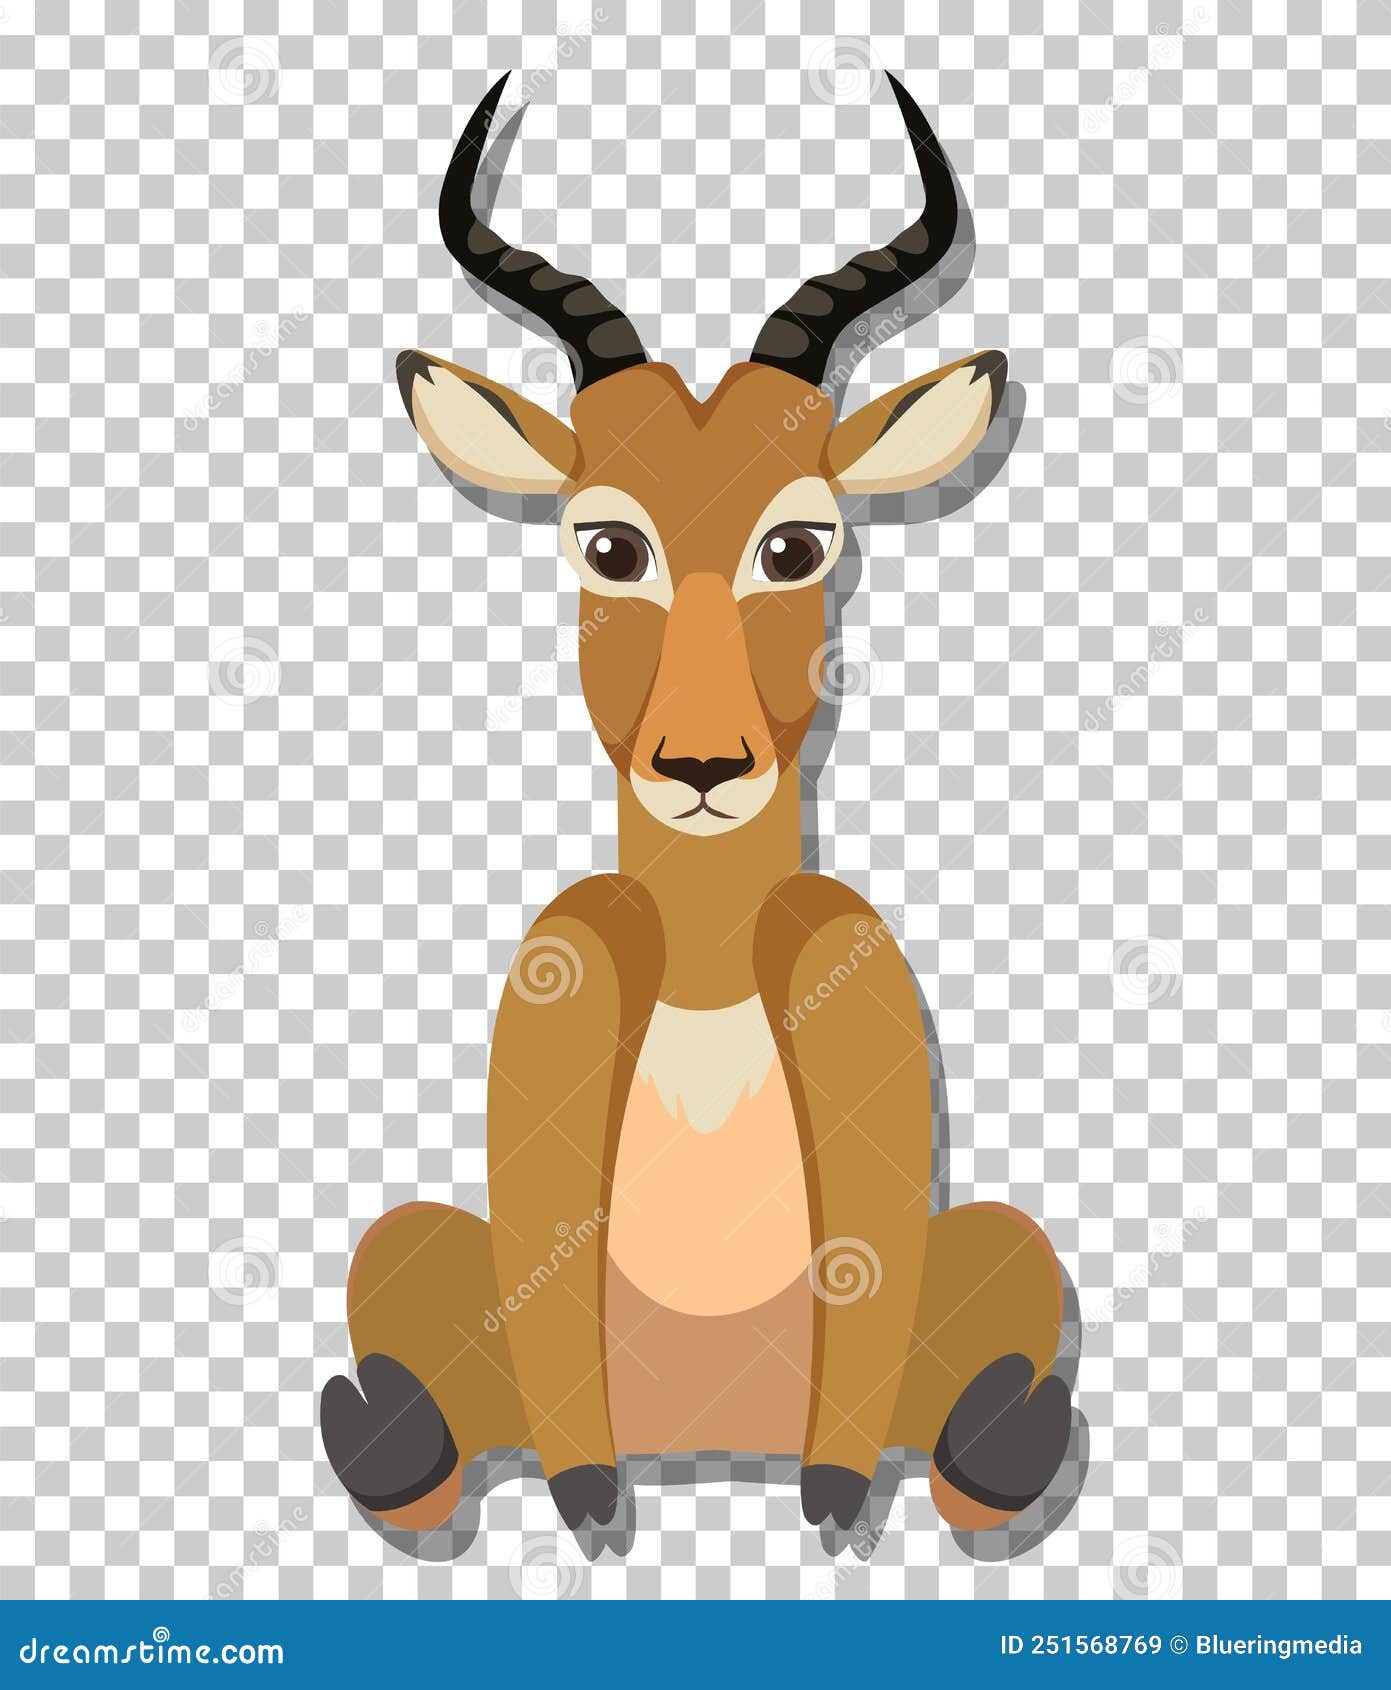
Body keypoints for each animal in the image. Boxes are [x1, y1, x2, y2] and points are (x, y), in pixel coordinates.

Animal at [321, 71, 1074, 1541]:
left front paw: (833, 1500)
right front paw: (585, 1502)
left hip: (986, 1261)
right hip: (425, 1260)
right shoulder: (561, 966)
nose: (702, 768)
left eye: (798, 540)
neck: (711, 965)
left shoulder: (849, 958)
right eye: (608, 543)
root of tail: (708, 1433)